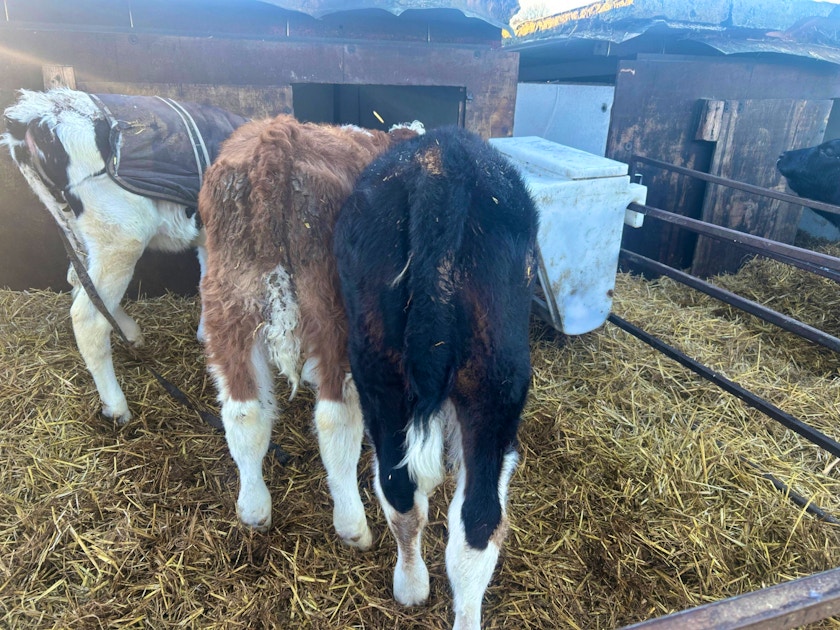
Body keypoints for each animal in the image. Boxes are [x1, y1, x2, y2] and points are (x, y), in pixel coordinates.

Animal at [2, 87, 246, 424]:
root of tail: (40, 113)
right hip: (121, 236)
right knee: (88, 317)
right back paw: (117, 407)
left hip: (79, 231)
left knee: (82, 284)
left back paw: (130, 333)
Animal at [197, 115, 423, 545]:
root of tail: (276, 140)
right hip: (336, 311)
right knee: (336, 416)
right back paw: (352, 524)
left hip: (229, 301)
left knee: (243, 411)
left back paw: (253, 509)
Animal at [334, 126, 539, 630]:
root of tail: (440, 168)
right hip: (497, 380)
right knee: (473, 517)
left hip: (382, 371)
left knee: (410, 495)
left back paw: (411, 588)